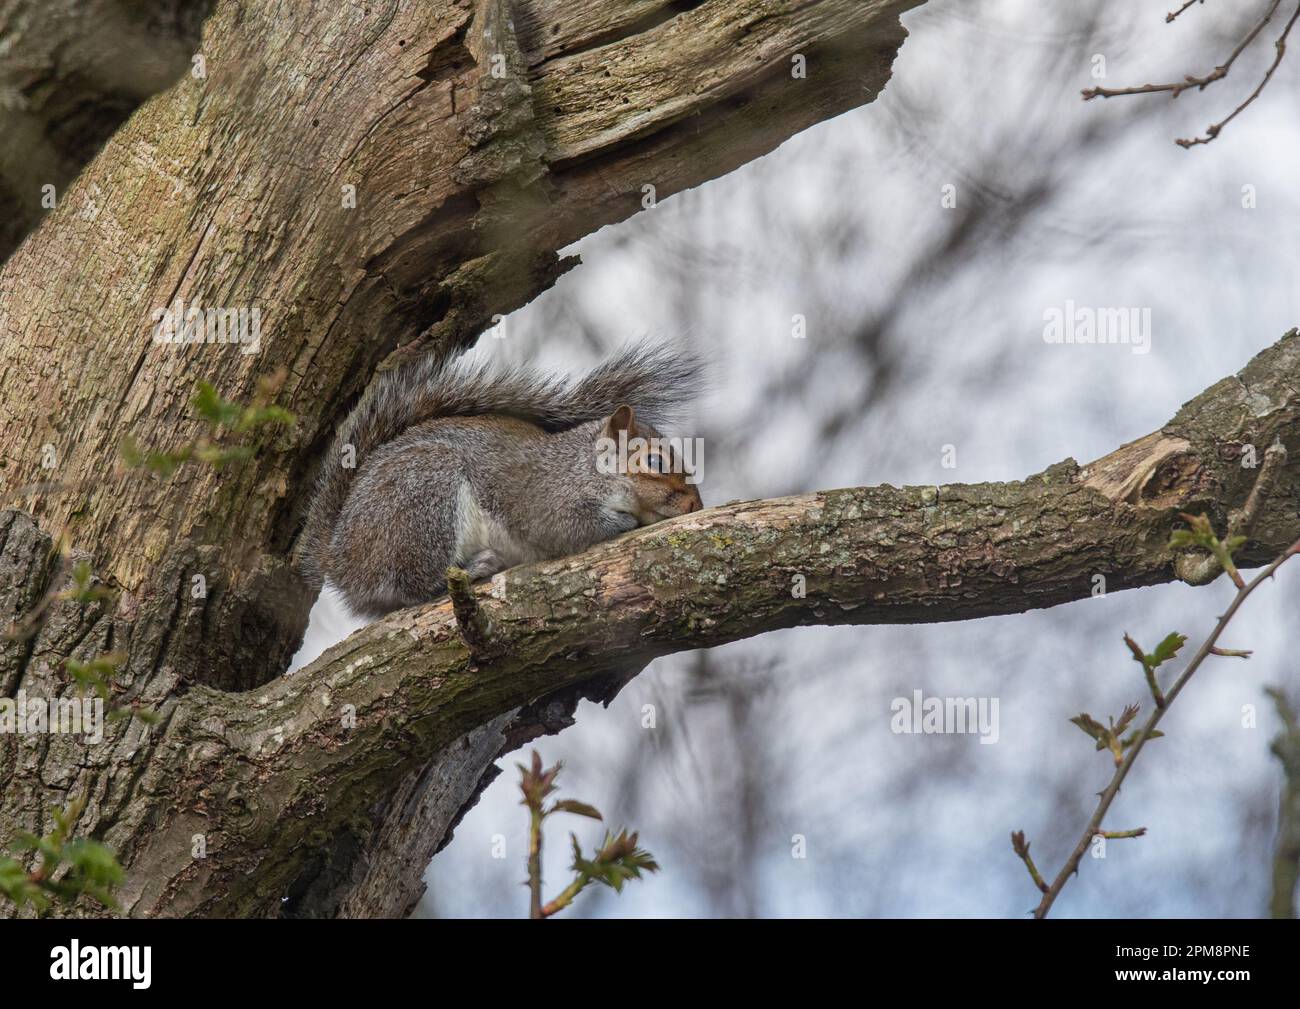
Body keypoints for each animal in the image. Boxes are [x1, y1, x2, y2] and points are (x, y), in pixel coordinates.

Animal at [297, 342, 704, 619]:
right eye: (653, 461)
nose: (695, 504)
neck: (583, 467)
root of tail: (338, 556)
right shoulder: (543, 498)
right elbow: (567, 527)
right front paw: (621, 522)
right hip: (423, 498)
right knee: (412, 584)